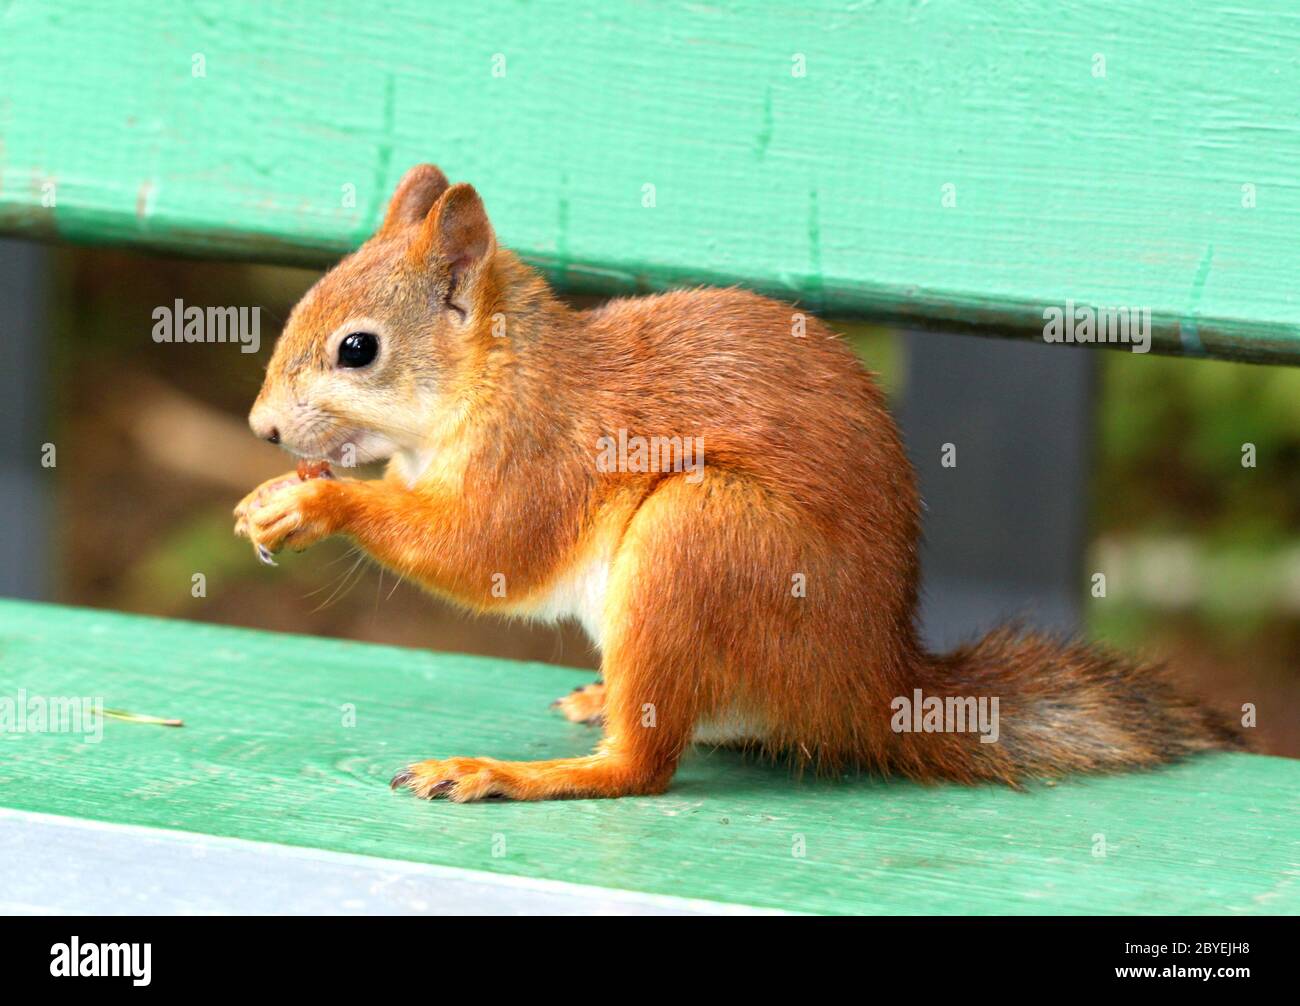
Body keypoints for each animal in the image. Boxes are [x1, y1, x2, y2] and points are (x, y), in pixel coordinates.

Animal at [233, 163, 1245, 802]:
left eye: (357, 349)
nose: (263, 429)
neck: (498, 377)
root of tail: (869, 689)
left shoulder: (544, 455)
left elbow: (487, 551)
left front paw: (314, 501)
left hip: (703, 537)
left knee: (642, 771)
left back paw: (516, 774)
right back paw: (599, 698)